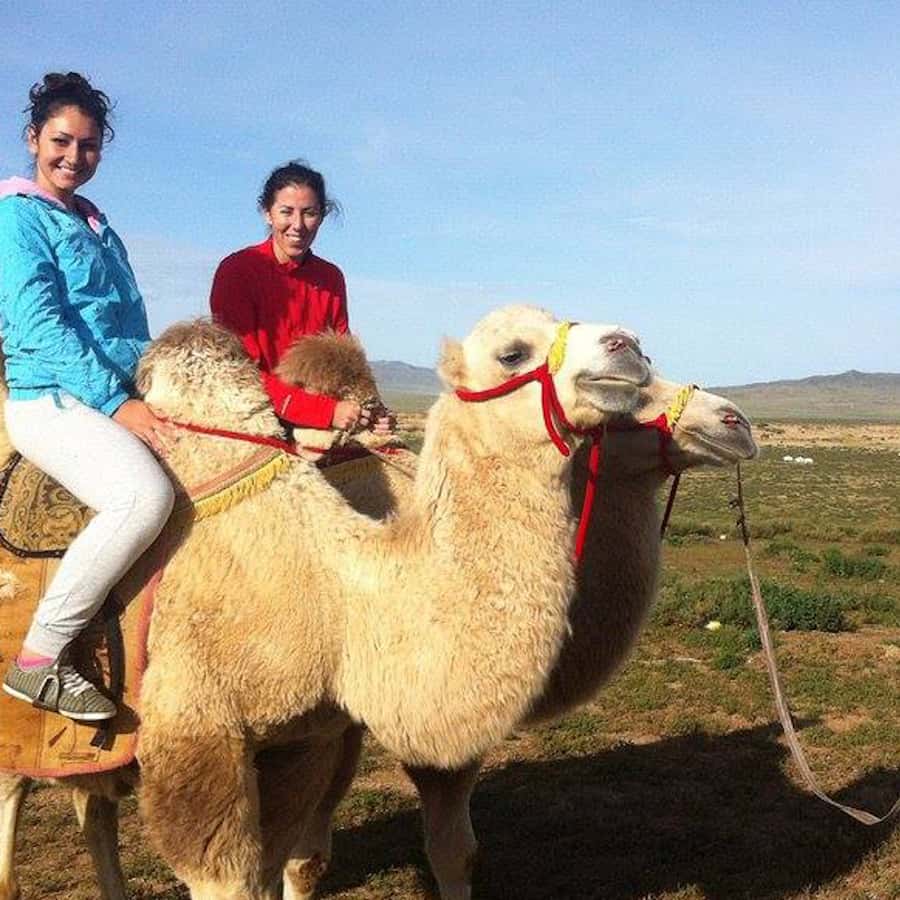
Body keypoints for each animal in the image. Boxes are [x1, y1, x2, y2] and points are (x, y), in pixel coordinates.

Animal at [0, 306, 650, 899]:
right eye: (513, 352)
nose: (630, 344)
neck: (331, 592)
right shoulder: (197, 732)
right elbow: (228, 879)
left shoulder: (299, 740)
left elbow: (284, 864)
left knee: (92, 803)